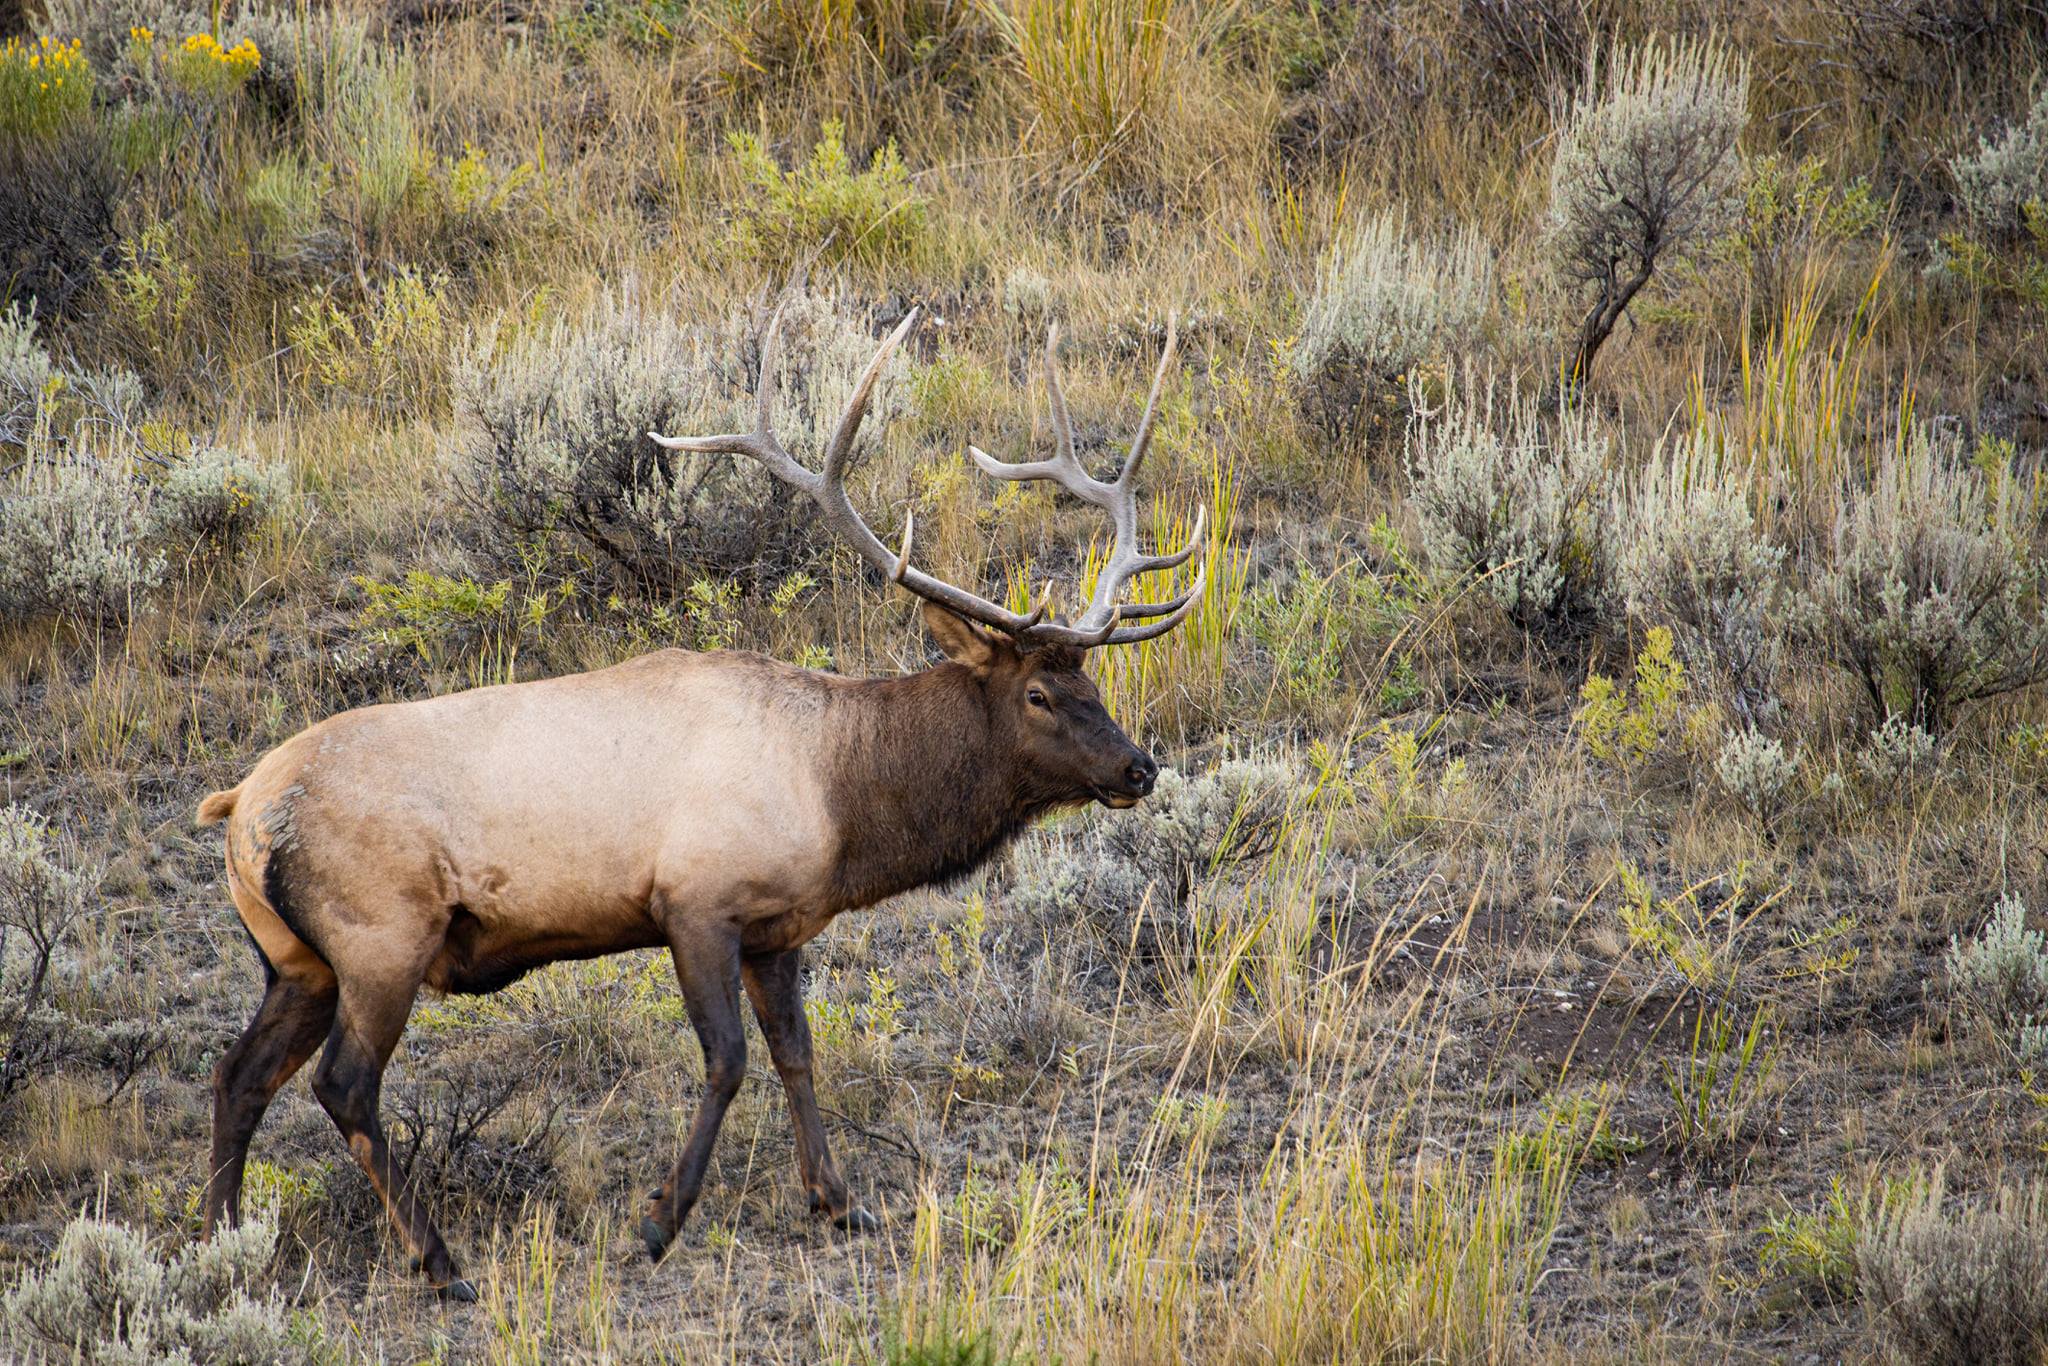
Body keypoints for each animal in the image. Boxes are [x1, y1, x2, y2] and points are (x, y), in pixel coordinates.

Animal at [193, 304, 1210, 1301]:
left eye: (1092, 682)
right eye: (1038, 694)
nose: (1139, 768)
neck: (842, 803)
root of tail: (239, 808)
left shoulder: (776, 928)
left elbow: (797, 1051)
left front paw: (839, 1201)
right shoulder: (692, 902)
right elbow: (728, 1060)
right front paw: (660, 1218)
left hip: (298, 960)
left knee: (238, 1074)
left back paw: (219, 1247)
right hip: (381, 936)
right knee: (344, 1085)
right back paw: (439, 1263)